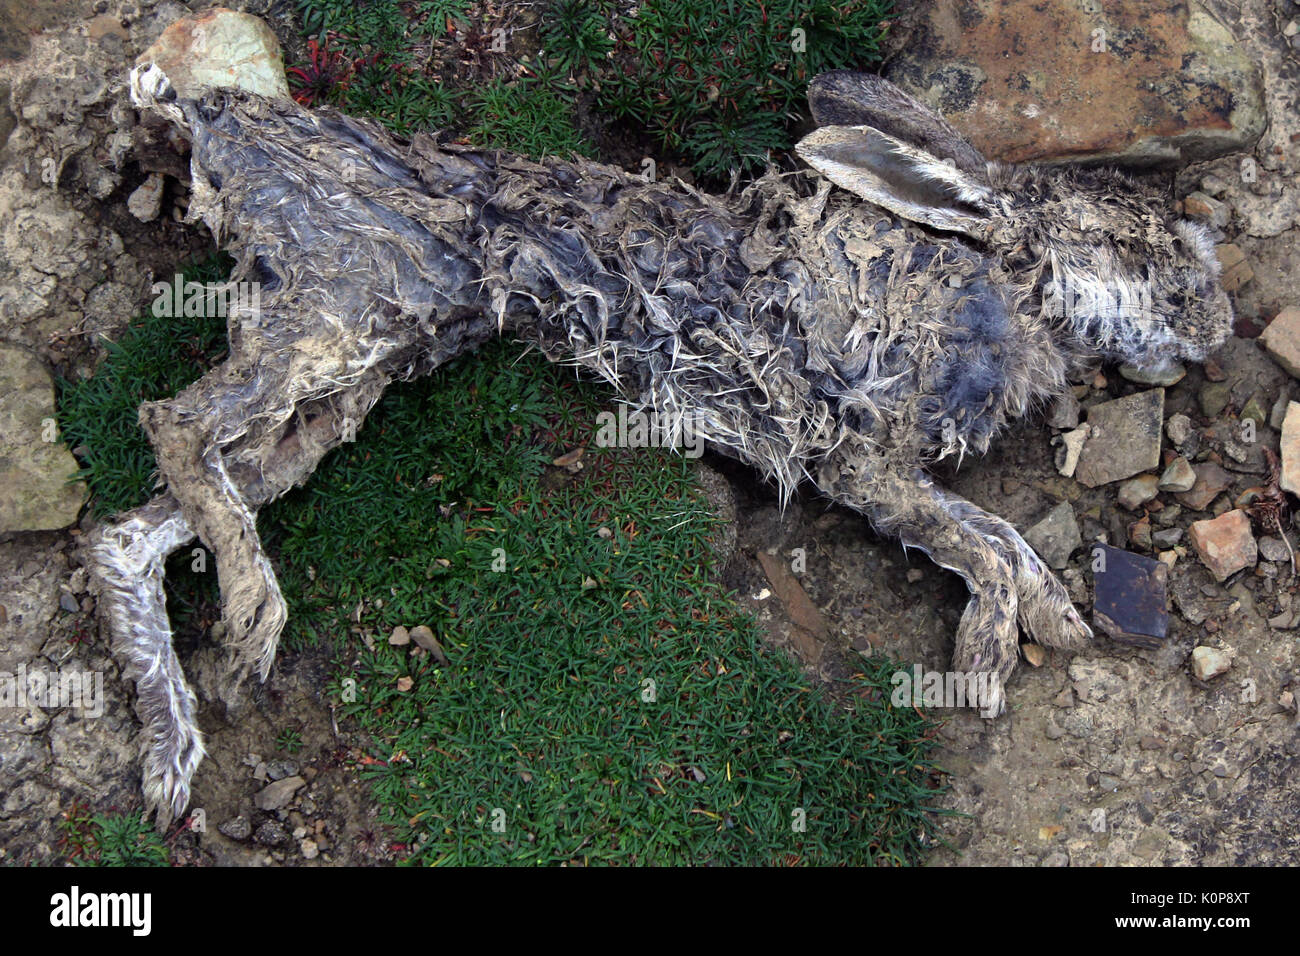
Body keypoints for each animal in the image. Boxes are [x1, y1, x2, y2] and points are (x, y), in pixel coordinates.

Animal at [90, 33, 1233, 823]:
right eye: (1137, 248)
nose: (1218, 323)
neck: (997, 279)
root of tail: (202, 115)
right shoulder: (859, 457)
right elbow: (979, 543)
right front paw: (991, 654)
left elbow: (999, 535)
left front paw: (1059, 618)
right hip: (341, 302)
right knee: (175, 424)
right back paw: (250, 624)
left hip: (355, 376)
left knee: (136, 524)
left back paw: (171, 750)